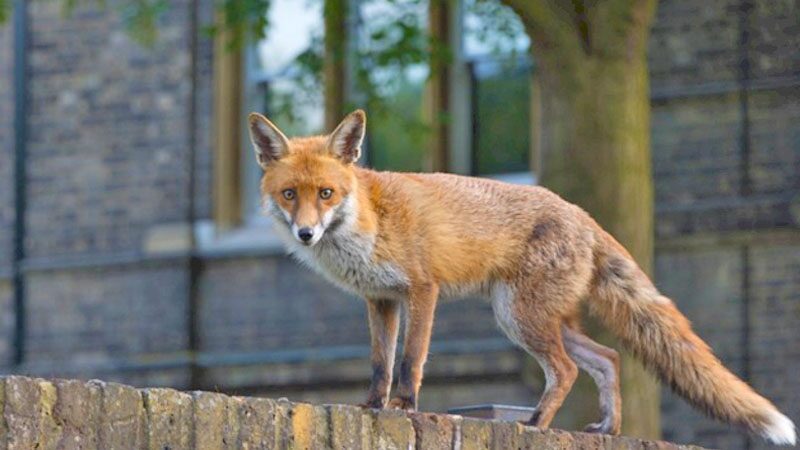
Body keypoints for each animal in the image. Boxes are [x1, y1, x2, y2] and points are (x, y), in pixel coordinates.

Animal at [247, 109, 796, 445]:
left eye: (326, 193)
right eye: (290, 194)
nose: (305, 234)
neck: (369, 221)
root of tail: (583, 214)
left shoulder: (423, 289)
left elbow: (410, 360)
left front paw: (403, 407)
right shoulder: (380, 299)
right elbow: (380, 364)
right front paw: (370, 407)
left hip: (519, 317)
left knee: (568, 371)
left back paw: (535, 425)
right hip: (536, 319)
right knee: (609, 357)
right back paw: (607, 428)